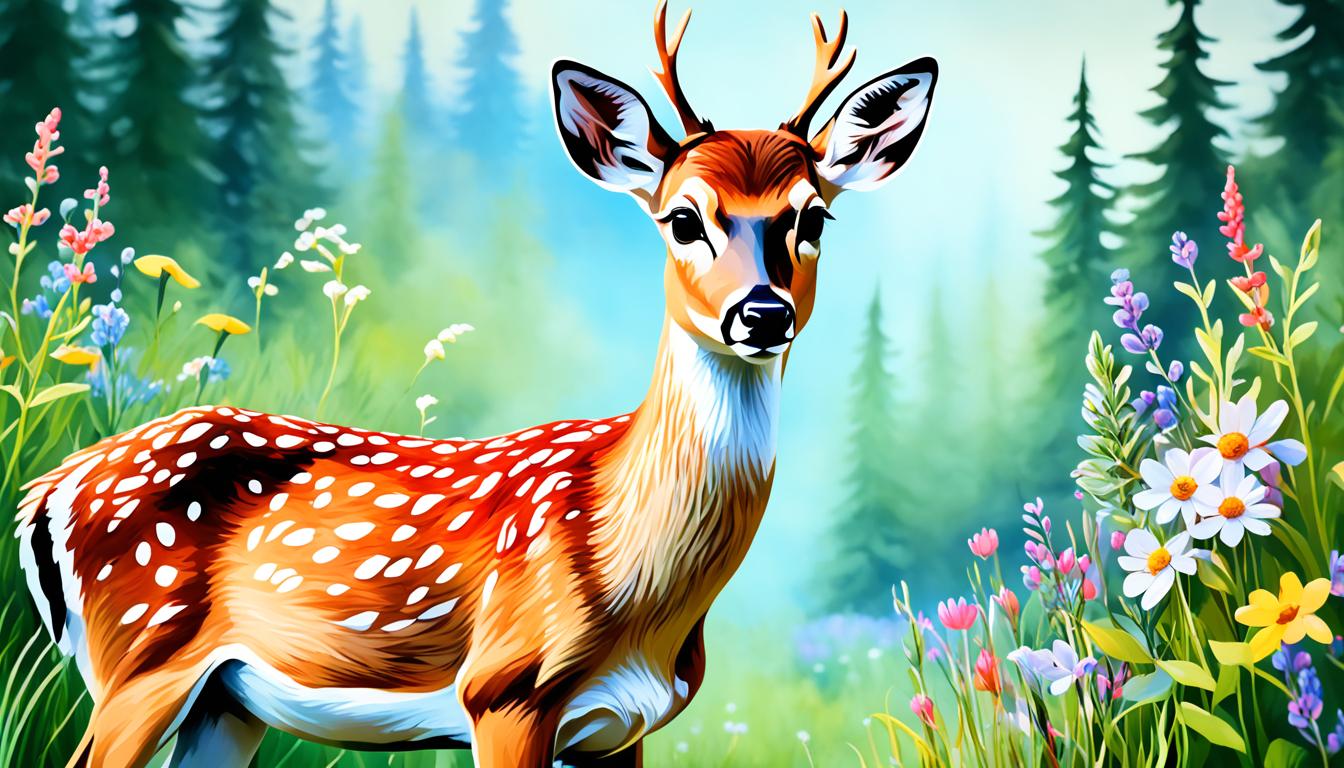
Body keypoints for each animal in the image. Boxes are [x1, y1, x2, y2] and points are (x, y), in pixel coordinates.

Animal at [15, 4, 936, 766]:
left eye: (812, 216)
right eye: (683, 217)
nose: (762, 313)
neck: (636, 577)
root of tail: (44, 495)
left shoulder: (620, 727)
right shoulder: (504, 689)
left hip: (224, 702)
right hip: (141, 658)